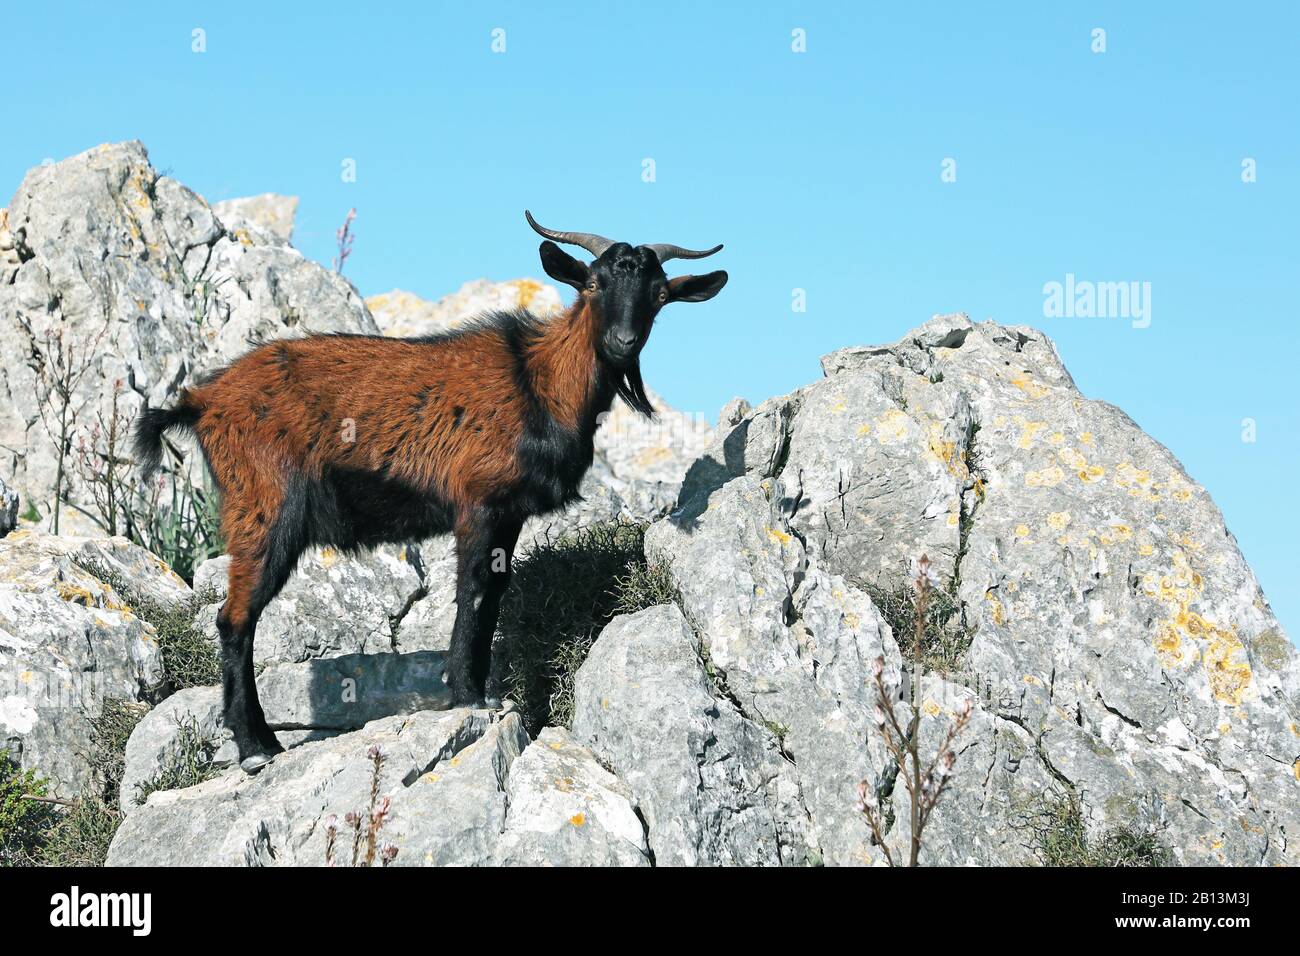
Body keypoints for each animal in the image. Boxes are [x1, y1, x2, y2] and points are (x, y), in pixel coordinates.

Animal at [133, 211, 728, 772]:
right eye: (595, 283)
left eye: (659, 294)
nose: (622, 343)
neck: (539, 382)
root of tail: (202, 402)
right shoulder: (478, 503)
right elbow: (475, 592)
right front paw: (466, 695)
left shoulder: (508, 514)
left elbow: (495, 594)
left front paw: (474, 688)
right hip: (264, 507)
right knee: (234, 618)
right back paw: (256, 746)